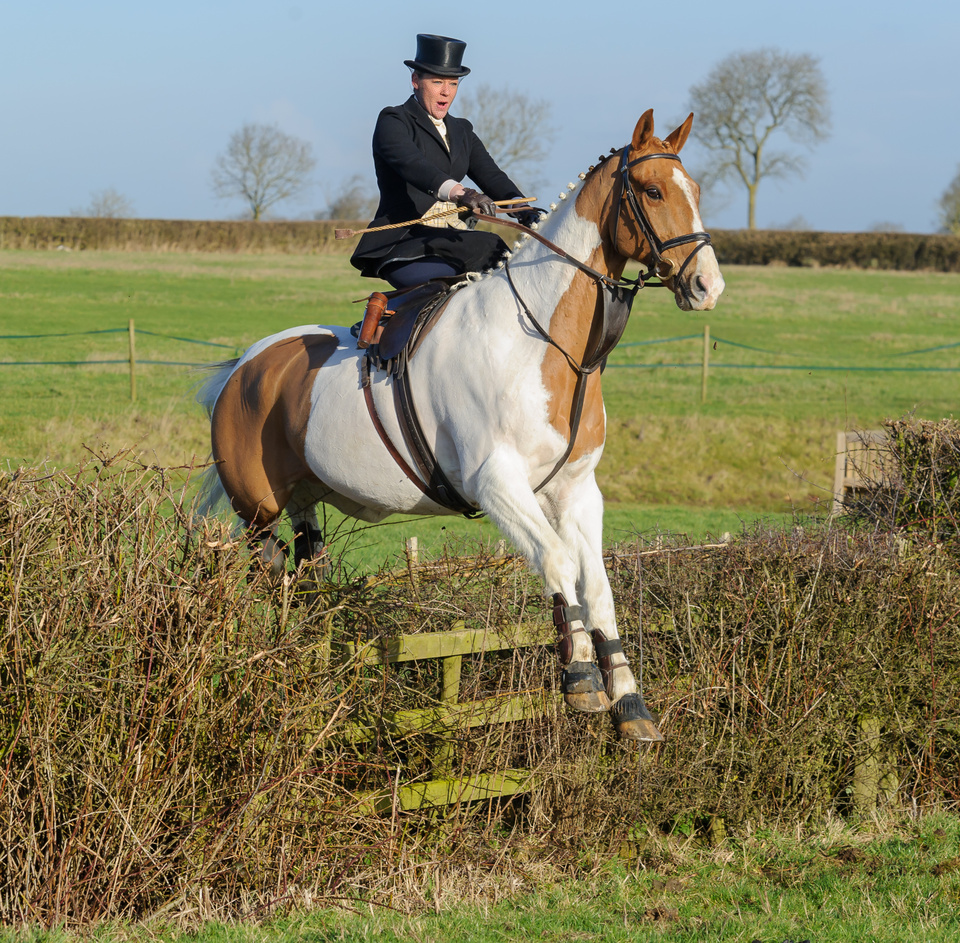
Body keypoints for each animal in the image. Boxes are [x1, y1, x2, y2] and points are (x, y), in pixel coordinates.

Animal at [198, 109, 725, 742]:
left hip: (303, 502)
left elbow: (595, 586)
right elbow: (557, 561)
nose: (708, 286)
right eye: (651, 191)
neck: (544, 342)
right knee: (265, 570)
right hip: (256, 510)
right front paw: (580, 680)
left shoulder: (576, 489)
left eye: (696, 191)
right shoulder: (496, 485)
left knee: (306, 574)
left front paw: (627, 699)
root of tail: (243, 366)